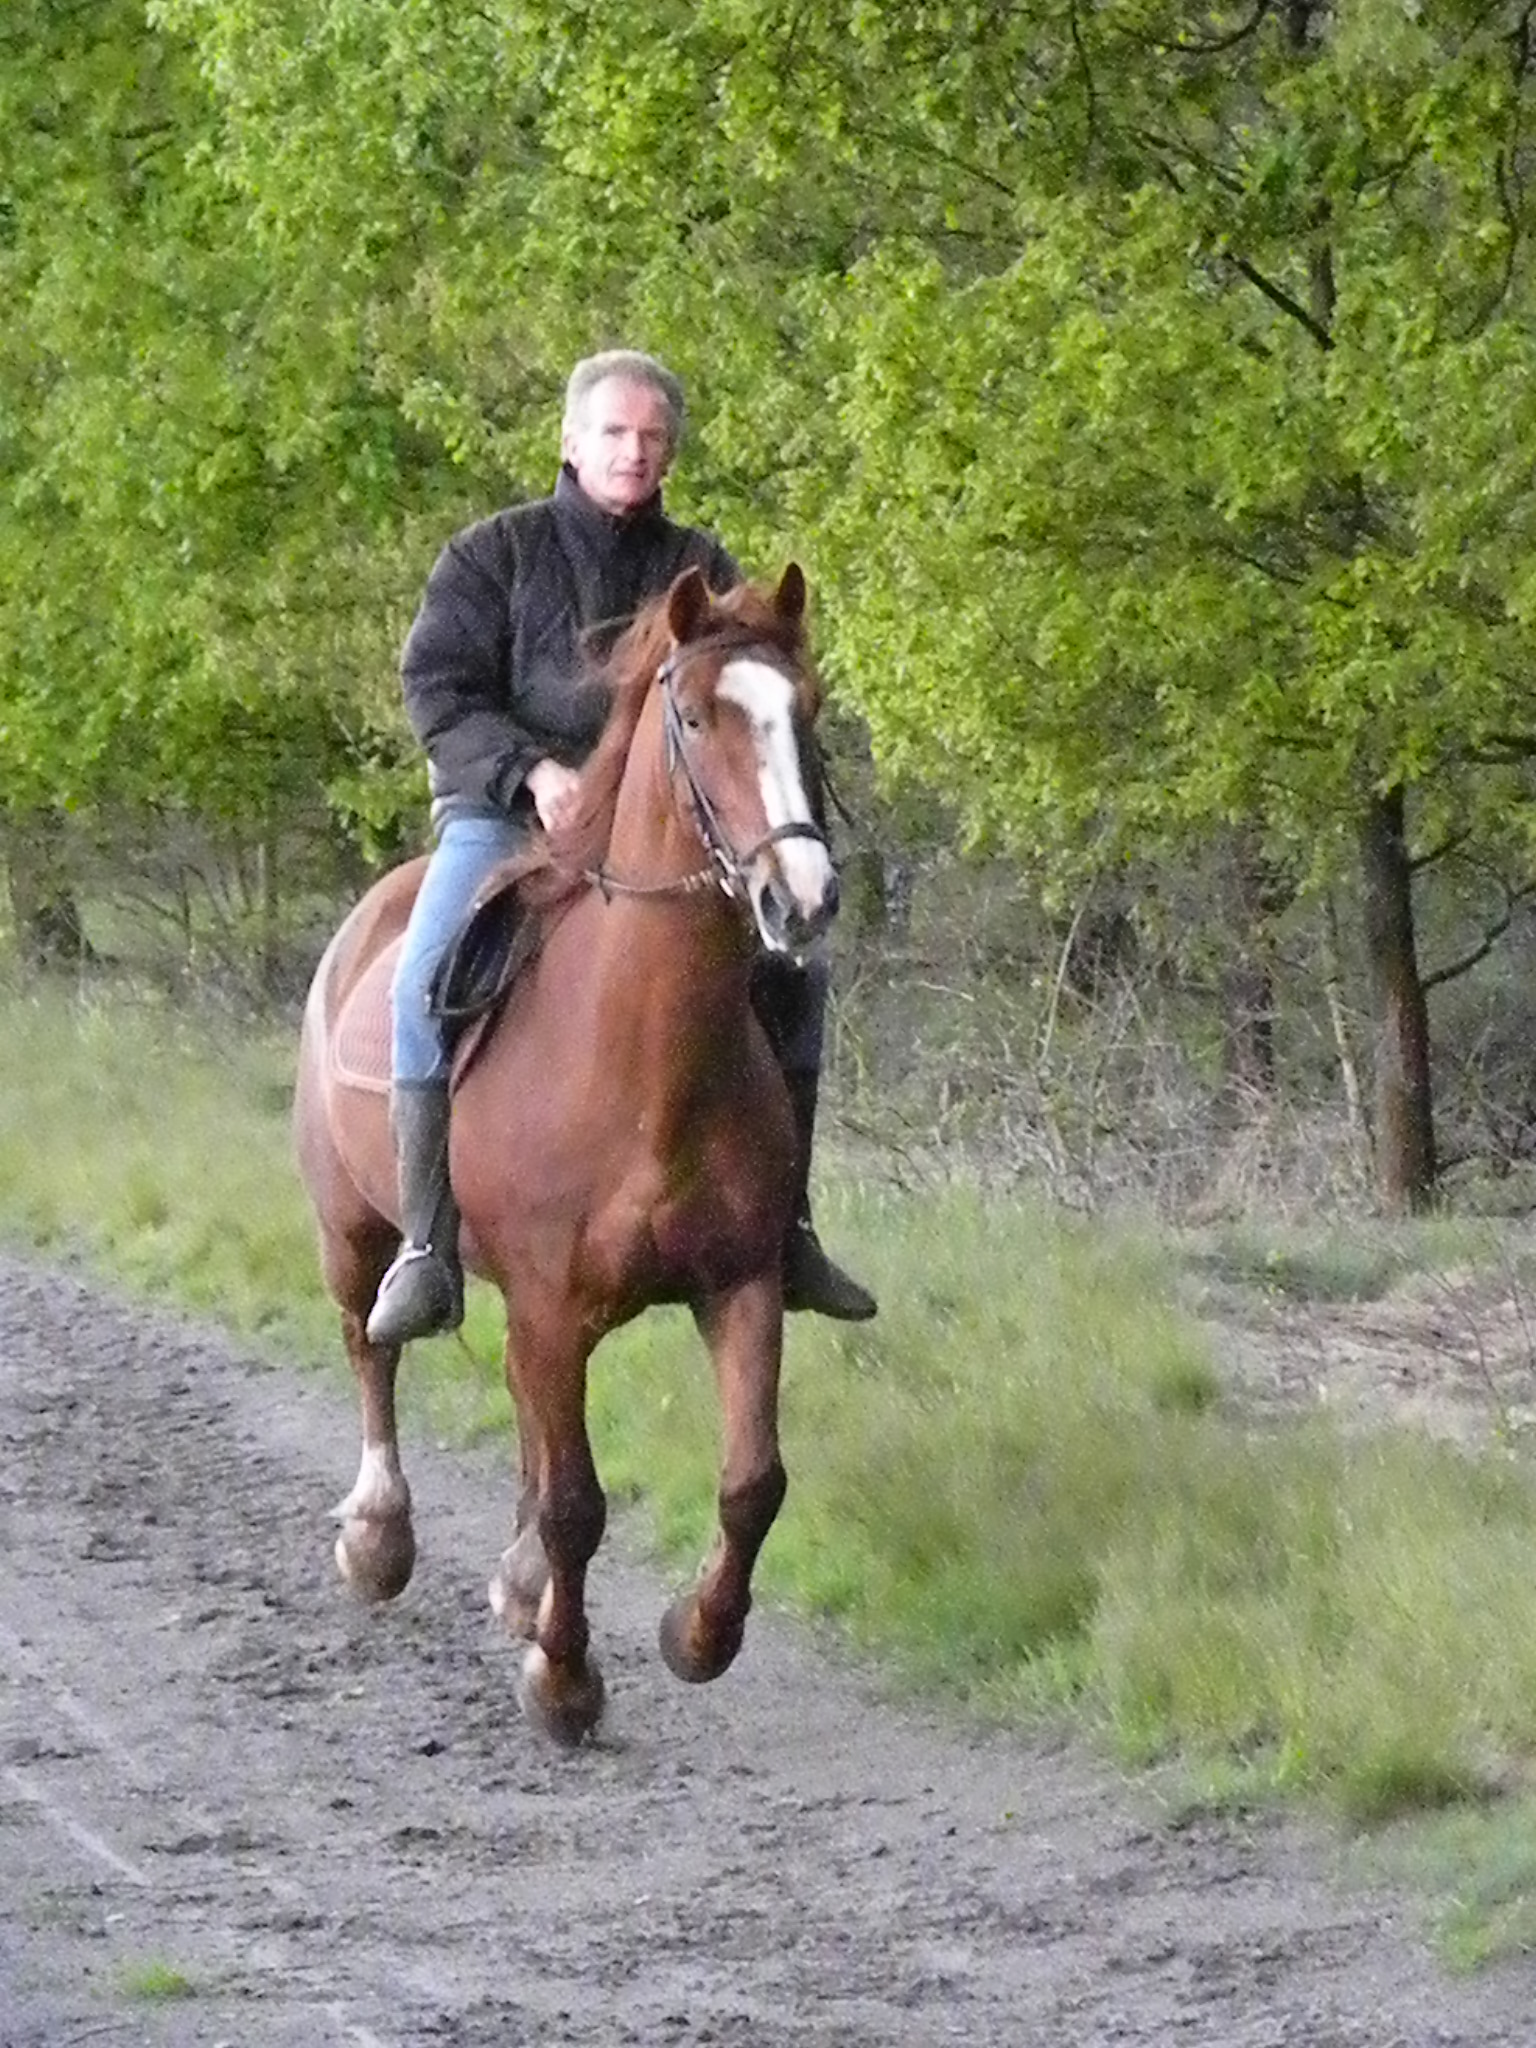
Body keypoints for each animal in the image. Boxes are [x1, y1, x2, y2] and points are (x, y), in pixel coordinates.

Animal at [293, 563, 840, 1746]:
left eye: (808, 711)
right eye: (696, 717)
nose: (804, 899)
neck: (642, 1064)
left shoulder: (740, 1285)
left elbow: (752, 1483)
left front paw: (696, 1634)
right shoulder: (549, 1301)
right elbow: (578, 1503)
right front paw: (565, 1682)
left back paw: (517, 1581)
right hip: (352, 1230)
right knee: (370, 1348)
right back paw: (378, 1536)